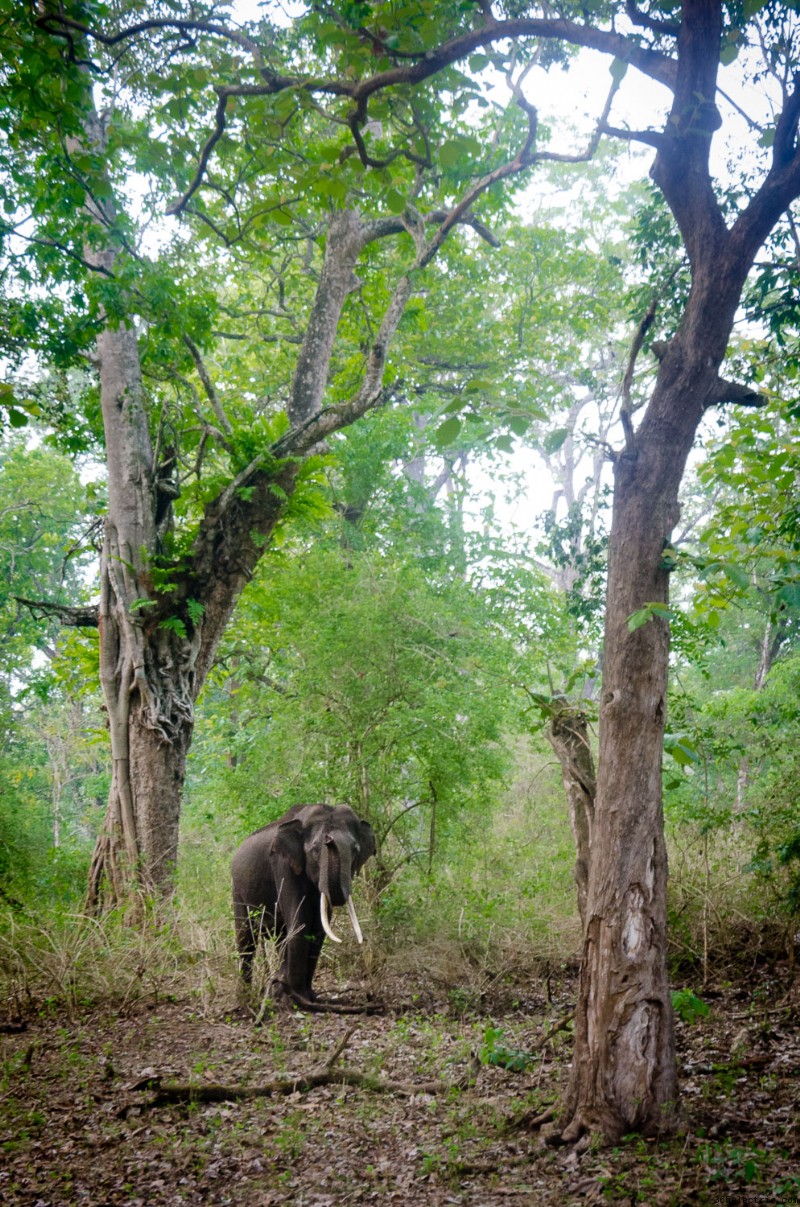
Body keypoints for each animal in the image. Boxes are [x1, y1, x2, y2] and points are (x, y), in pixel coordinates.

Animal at [231, 801, 376, 1009]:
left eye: (355, 850)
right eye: (315, 850)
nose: (329, 839)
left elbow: (319, 927)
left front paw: (308, 997)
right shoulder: (283, 864)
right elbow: (300, 920)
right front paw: (296, 999)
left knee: (280, 936)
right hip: (237, 889)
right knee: (246, 939)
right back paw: (246, 999)